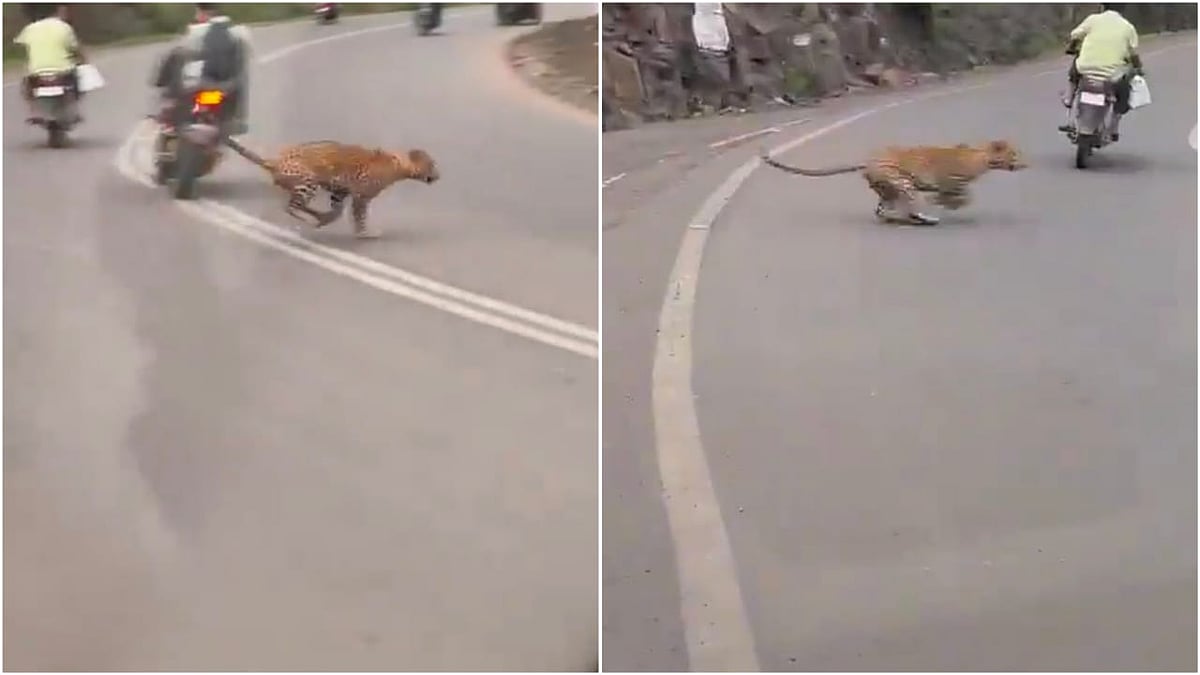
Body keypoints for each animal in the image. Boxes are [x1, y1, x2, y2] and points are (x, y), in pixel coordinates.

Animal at [223, 138, 440, 238]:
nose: (439, 176)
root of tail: (274, 161)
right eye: (431, 164)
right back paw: (310, 219)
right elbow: (359, 216)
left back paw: (319, 218)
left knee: (297, 205)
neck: (399, 165)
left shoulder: (340, 191)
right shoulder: (361, 196)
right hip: (308, 183)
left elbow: (338, 210)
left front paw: (328, 218)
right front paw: (365, 233)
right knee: (291, 206)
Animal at [758, 139, 1027, 226]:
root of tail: (867, 162)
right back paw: (925, 217)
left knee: (883, 209)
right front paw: (945, 203)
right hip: (900, 183)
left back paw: (899, 218)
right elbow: (961, 196)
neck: (980, 156)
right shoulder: (951, 182)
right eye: (1014, 154)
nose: (1026, 164)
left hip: (887, 189)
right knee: (908, 205)